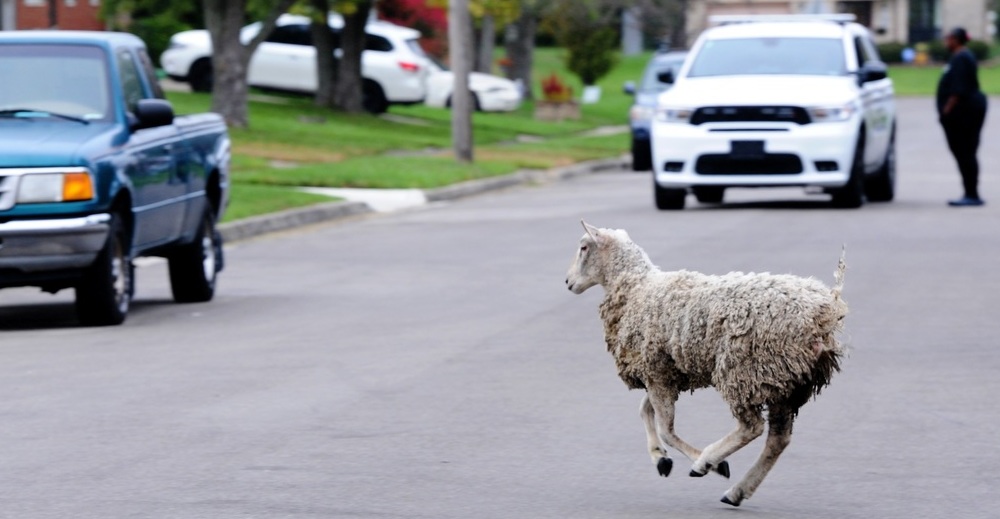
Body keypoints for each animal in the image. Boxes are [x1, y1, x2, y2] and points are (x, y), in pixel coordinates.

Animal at [564, 221, 847, 507]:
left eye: (584, 247)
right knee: (778, 439)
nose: (567, 282)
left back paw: (706, 462)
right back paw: (736, 492)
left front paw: (710, 465)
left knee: (752, 427)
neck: (637, 288)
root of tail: (823, 314)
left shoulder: (656, 372)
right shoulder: (664, 373)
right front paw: (660, 458)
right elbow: (645, 411)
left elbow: (666, 429)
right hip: (783, 380)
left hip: (747, 370)